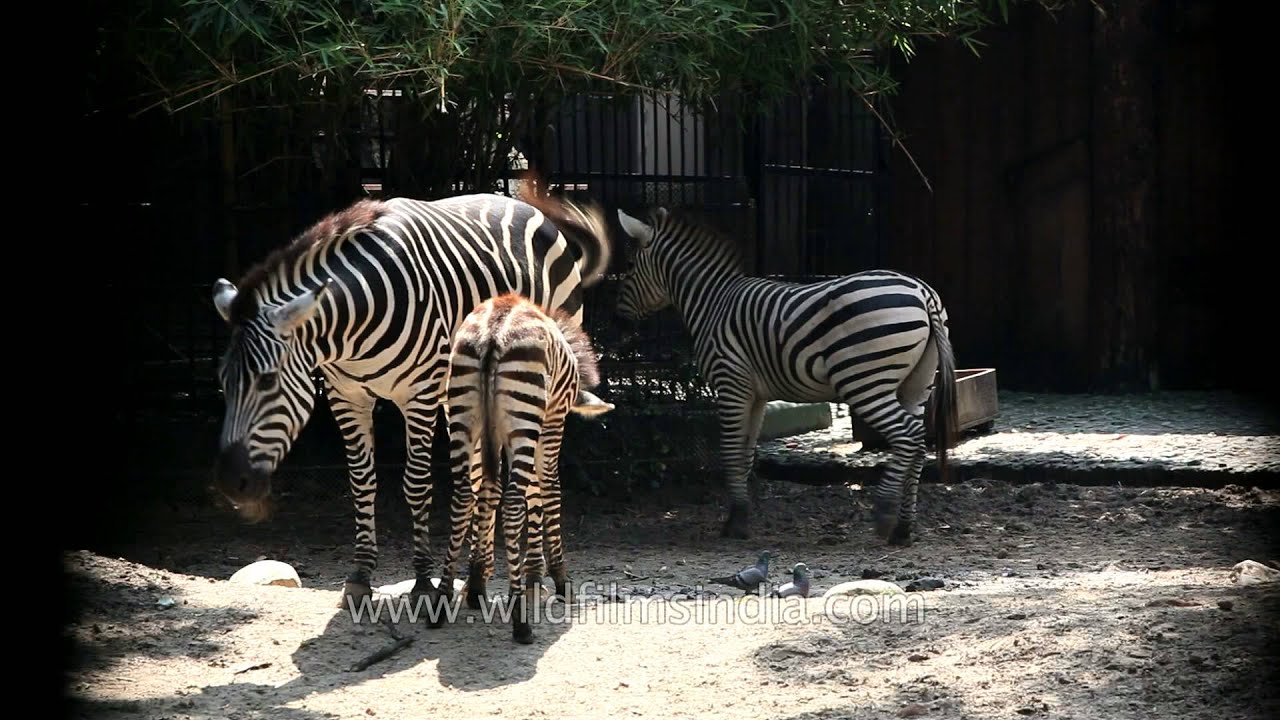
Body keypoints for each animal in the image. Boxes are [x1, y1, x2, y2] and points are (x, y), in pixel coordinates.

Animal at [209, 187, 612, 607]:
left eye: (267, 381)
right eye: (223, 381)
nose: (230, 482)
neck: (350, 328)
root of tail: (517, 202)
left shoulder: (419, 394)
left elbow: (416, 484)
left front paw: (422, 579)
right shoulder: (345, 396)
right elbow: (361, 481)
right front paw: (360, 574)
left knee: (536, 474)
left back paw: (539, 576)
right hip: (468, 395)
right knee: (479, 475)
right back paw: (476, 578)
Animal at [427, 292, 613, 643]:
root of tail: (492, 332)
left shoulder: (494, 436)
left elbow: (490, 492)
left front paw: (478, 582)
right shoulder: (552, 420)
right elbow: (547, 490)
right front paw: (555, 577)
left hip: (463, 412)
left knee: (463, 496)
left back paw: (441, 600)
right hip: (526, 415)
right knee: (513, 502)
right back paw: (520, 620)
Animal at [613, 206, 957, 545]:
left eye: (629, 265)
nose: (619, 321)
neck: (712, 302)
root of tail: (922, 291)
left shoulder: (730, 382)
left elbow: (730, 451)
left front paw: (735, 523)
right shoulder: (755, 394)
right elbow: (746, 452)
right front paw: (741, 515)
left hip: (865, 381)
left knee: (907, 435)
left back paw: (884, 514)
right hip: (917, 383)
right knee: (917, 440)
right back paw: (904, 529)